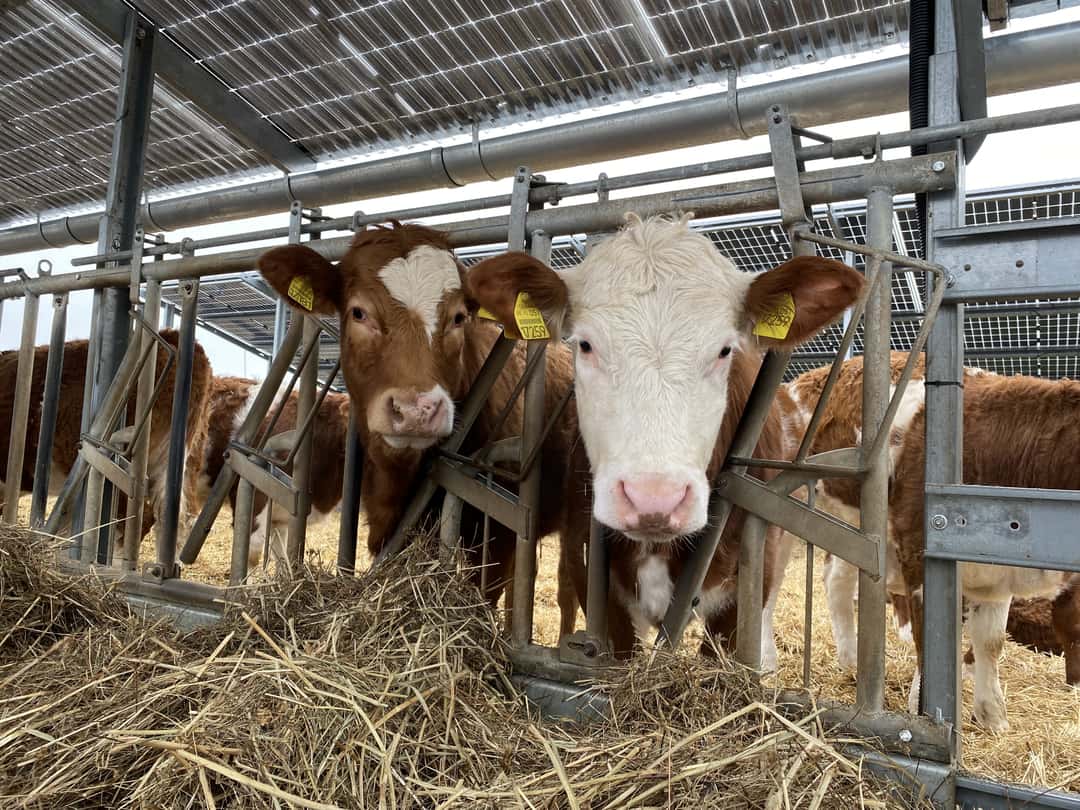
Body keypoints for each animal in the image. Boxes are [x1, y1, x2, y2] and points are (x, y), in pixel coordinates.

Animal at [787, 352, 1080, 731]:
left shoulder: (997, 572)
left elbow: (991, 642)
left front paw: (992, 718)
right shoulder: (919, 555)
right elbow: (930, 644)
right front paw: (923, 712)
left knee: (836, 581)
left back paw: (850, 661)